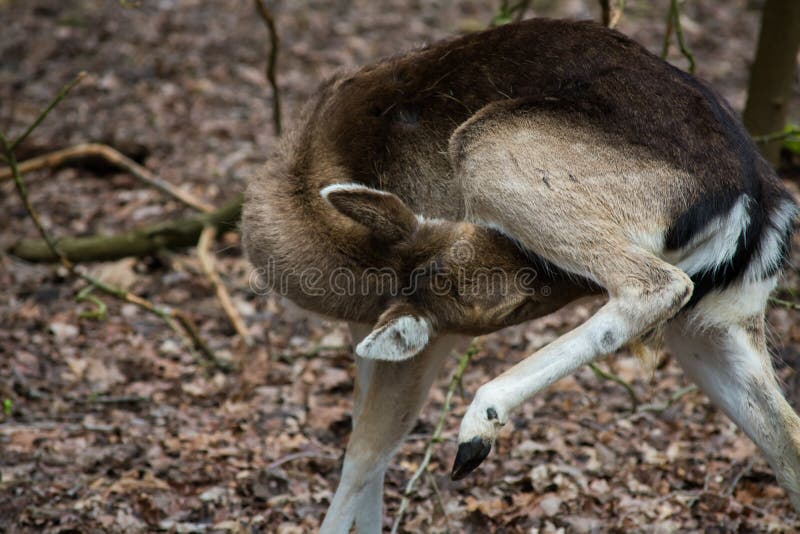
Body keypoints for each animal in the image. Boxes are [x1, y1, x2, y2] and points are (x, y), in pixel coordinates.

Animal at [241, 17, 800, 533]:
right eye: (515, 301)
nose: (566, 283)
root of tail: (759, 199)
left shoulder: (432, 338)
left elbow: (367, 451)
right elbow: (366, 433)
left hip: (490, 148)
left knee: (656, 283)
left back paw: (477, 426)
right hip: (719, 315)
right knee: (786, 440)